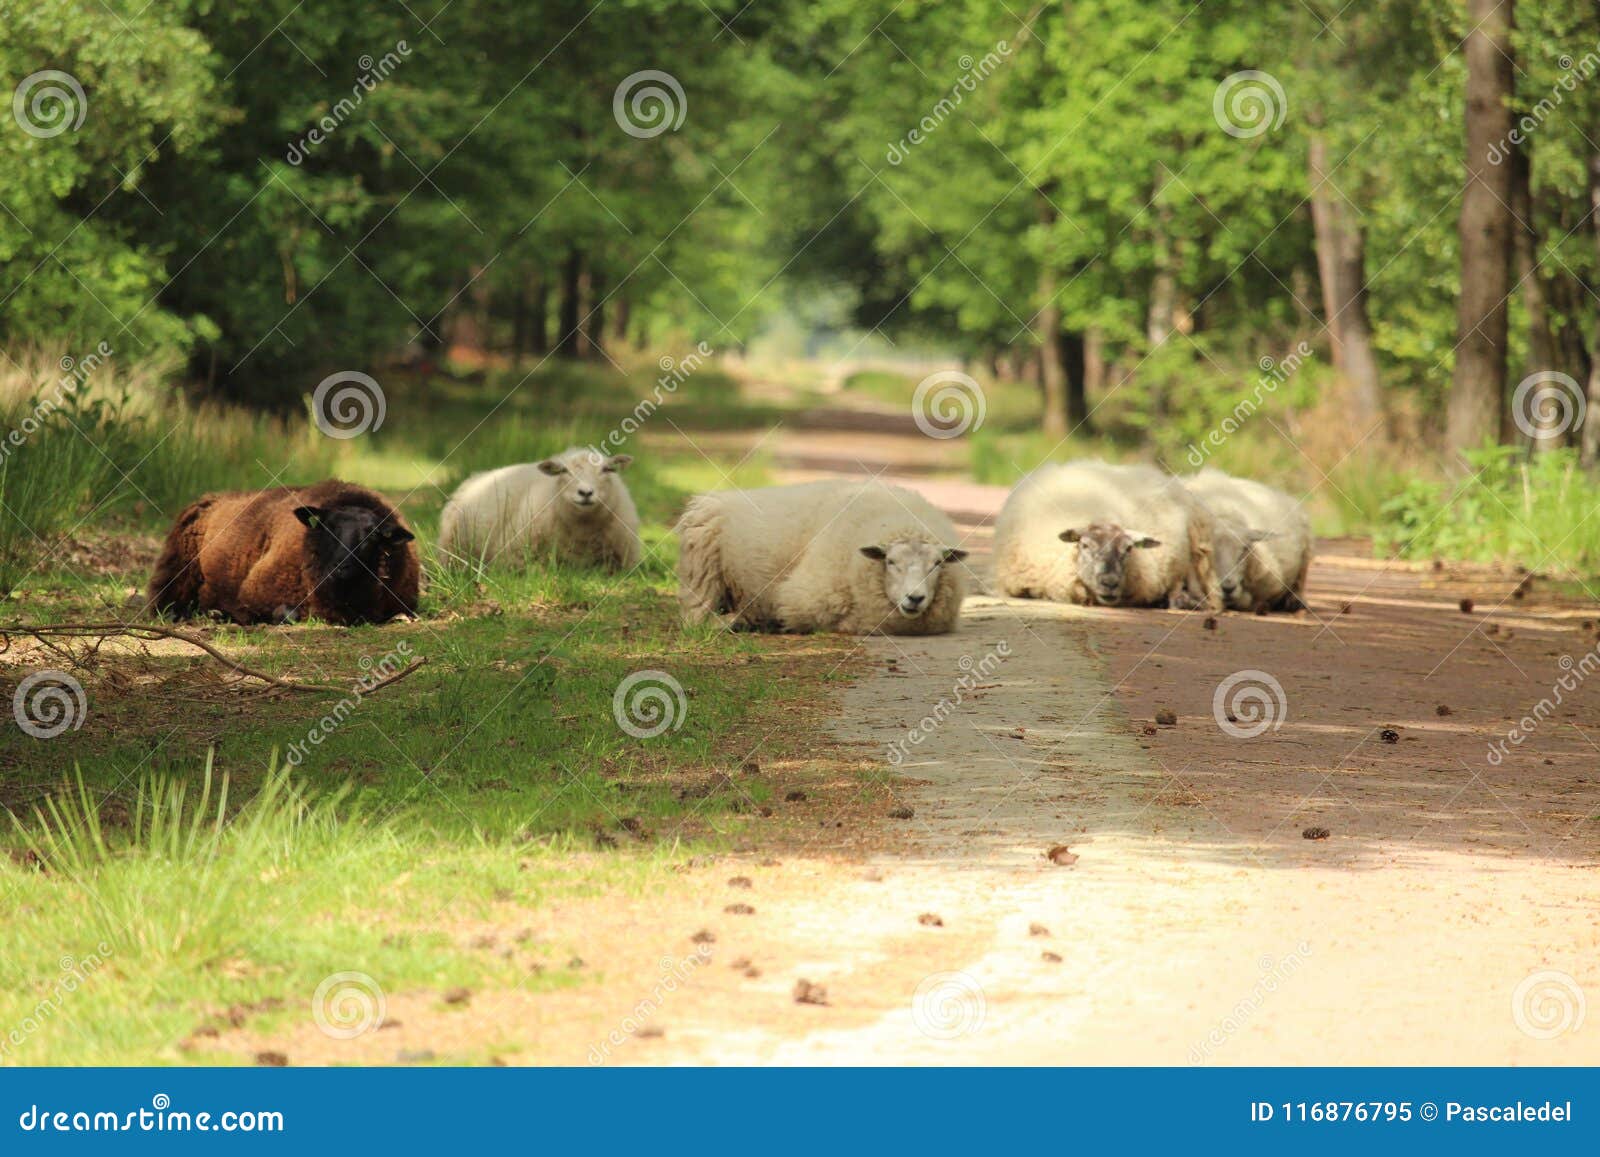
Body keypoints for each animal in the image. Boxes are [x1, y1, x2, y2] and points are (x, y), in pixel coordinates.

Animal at [147, 480, 419, 625]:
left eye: (373, 536)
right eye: (327, 528)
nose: (341, 569)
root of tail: (212, 497)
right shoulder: (255, 593)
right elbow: (286, 613)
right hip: (177, 572)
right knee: (165, 603)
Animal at [438, 447, 641, 570]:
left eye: (607, 469)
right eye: (563, 471)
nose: (585, 493)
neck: (583, 529)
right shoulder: (512, 558)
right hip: (453, 549)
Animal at [675, 480, 969, 635]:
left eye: (937, 564)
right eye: (891, 561)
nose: (915, 598)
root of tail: (714, 496)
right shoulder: (802, 596)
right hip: (701, 573)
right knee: (695, 618)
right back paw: (733, 622)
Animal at [1182, 468, 1312, 612]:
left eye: (1244, 549)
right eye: (1210, 551)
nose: (1228, 588)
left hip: (1307, 548)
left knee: (1300, 579)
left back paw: (1295, 601)